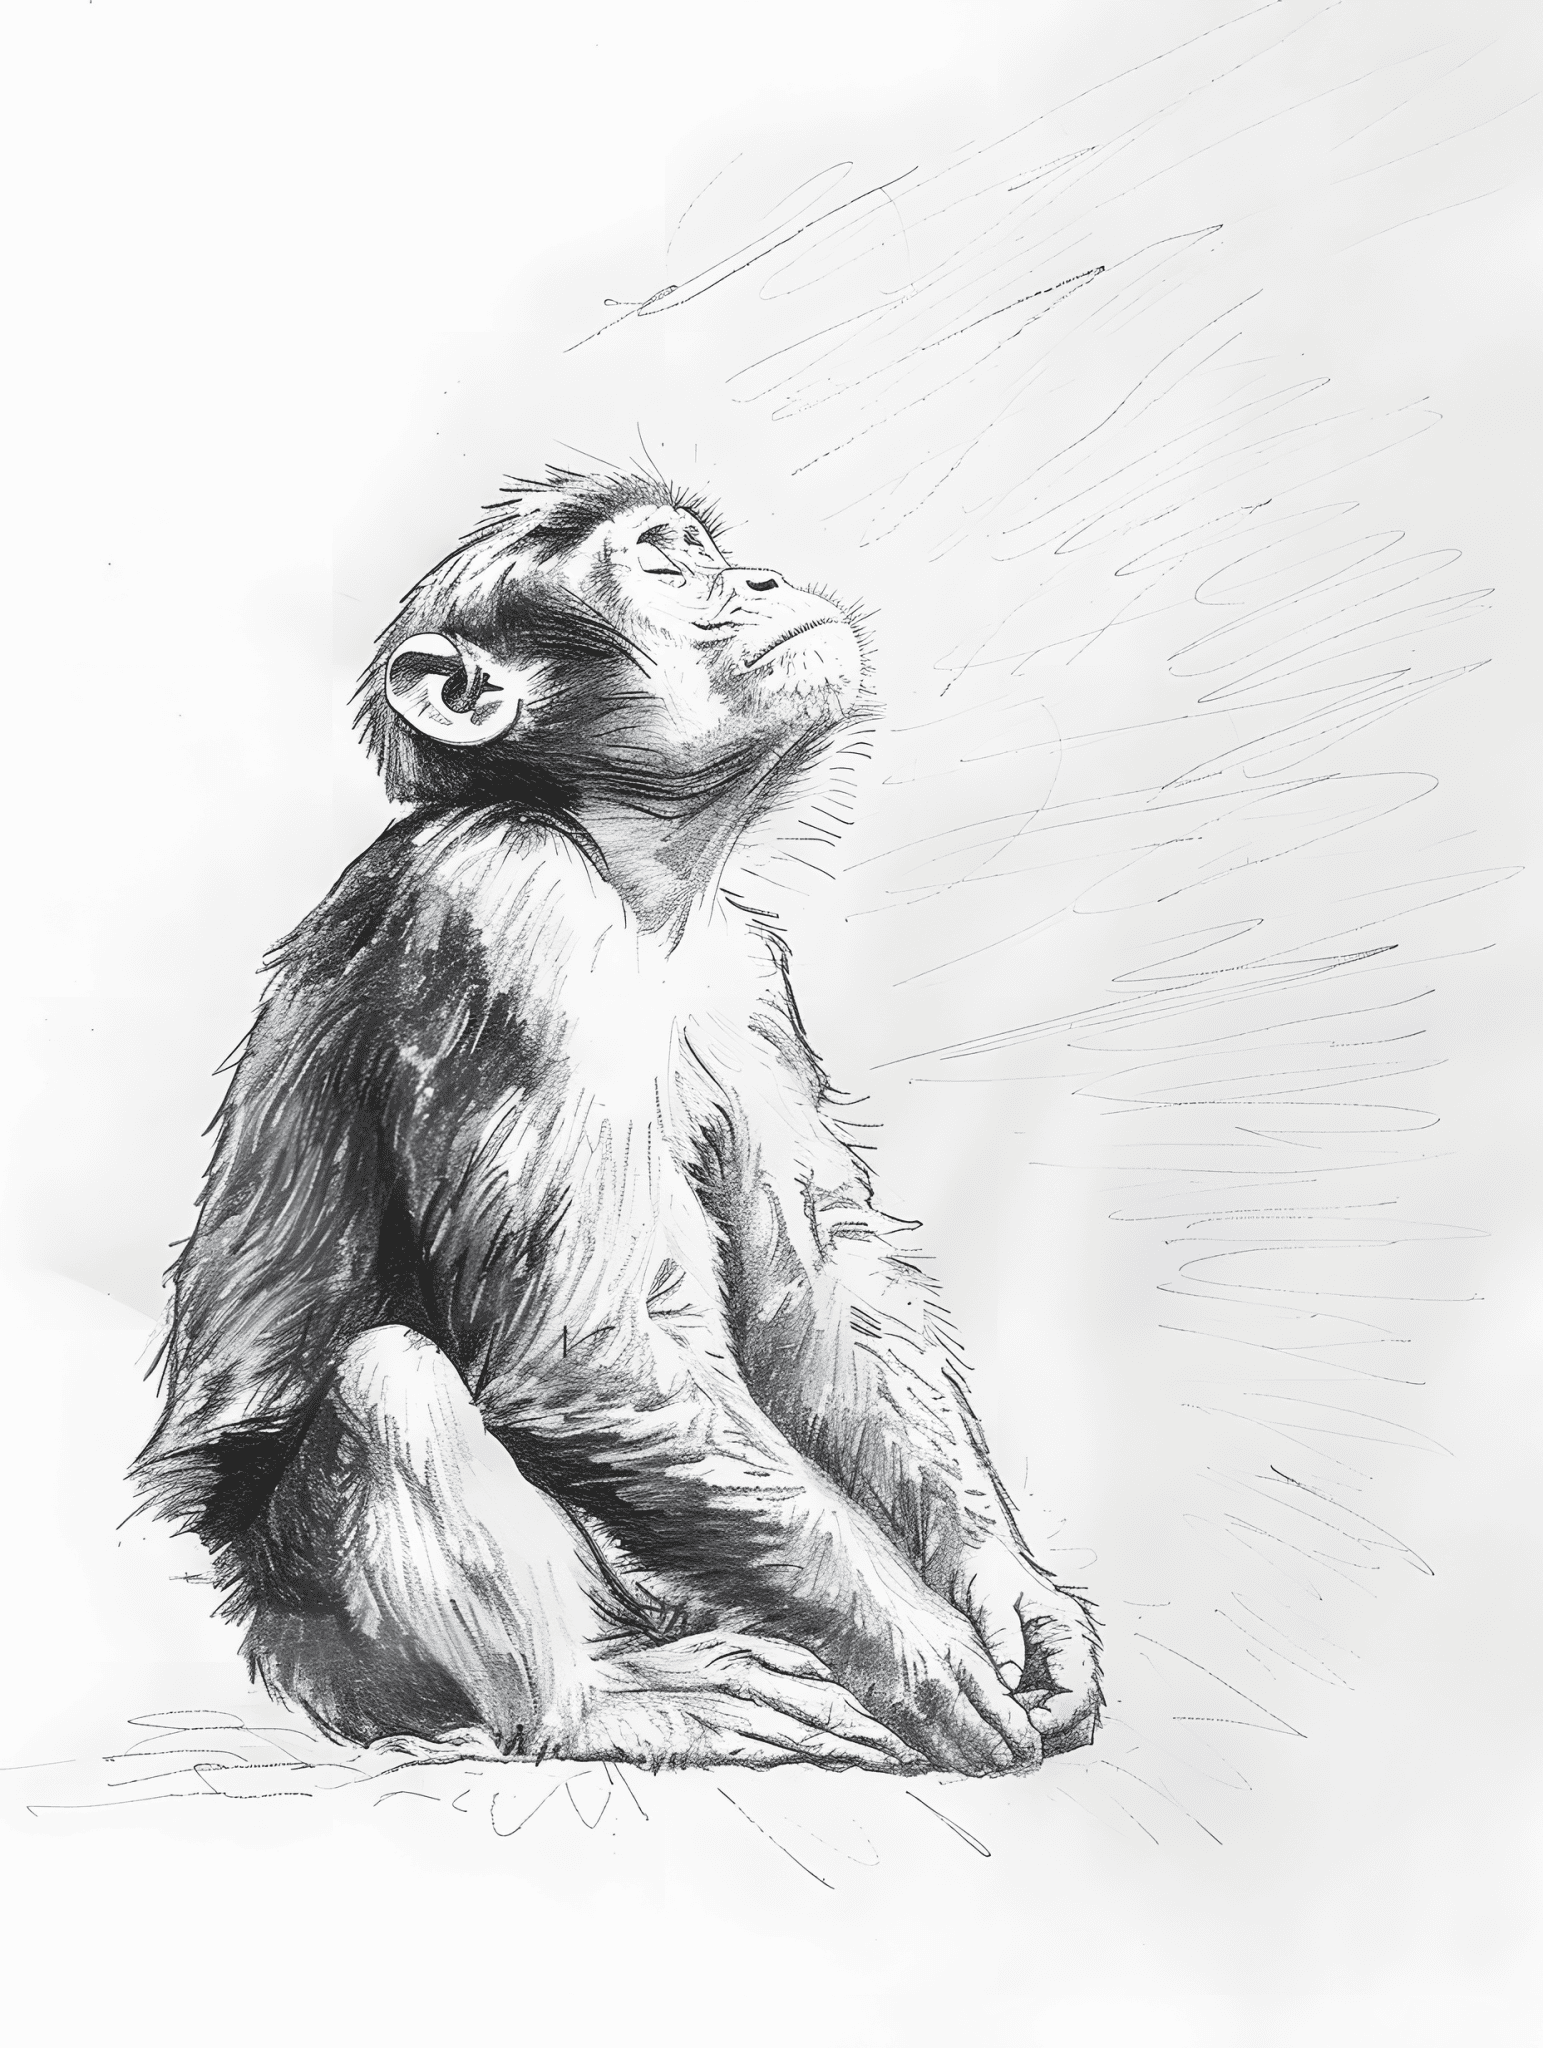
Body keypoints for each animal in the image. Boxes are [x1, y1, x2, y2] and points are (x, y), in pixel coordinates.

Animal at [133, 467, 1102, 1775]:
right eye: (663, 562)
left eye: (701, 549)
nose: (756, 578)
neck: (626, 867)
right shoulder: (504, 910)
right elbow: (579, 1342)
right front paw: (921, 1646)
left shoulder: (743, 969)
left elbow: (820, 1278)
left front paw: (1014, 1598)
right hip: (334, 1654)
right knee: (393, 1384)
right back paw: (591, 1698)